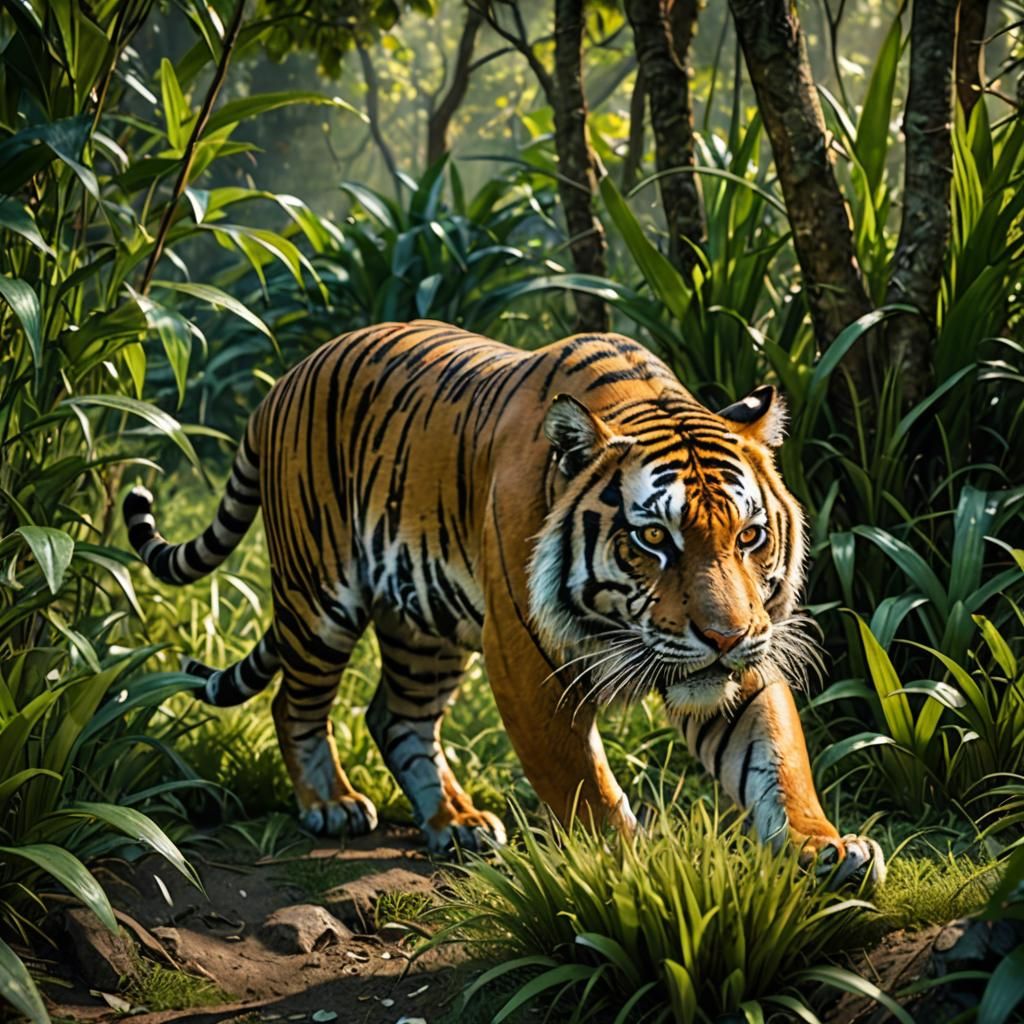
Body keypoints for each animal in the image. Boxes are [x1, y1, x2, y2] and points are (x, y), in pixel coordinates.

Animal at [124, 319, 884, 886]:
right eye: (653, 538)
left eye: (749, 536)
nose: (724, 637)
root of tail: (283, 382)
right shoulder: (525, 662)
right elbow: (584, 790)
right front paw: (634, 873)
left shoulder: (742, 664)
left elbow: (776, 760)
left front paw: (825, 849)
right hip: (319, 600)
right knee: (295, 704)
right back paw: (333, 805)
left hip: (424, 626)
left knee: (397, 717)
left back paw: (456, 823)